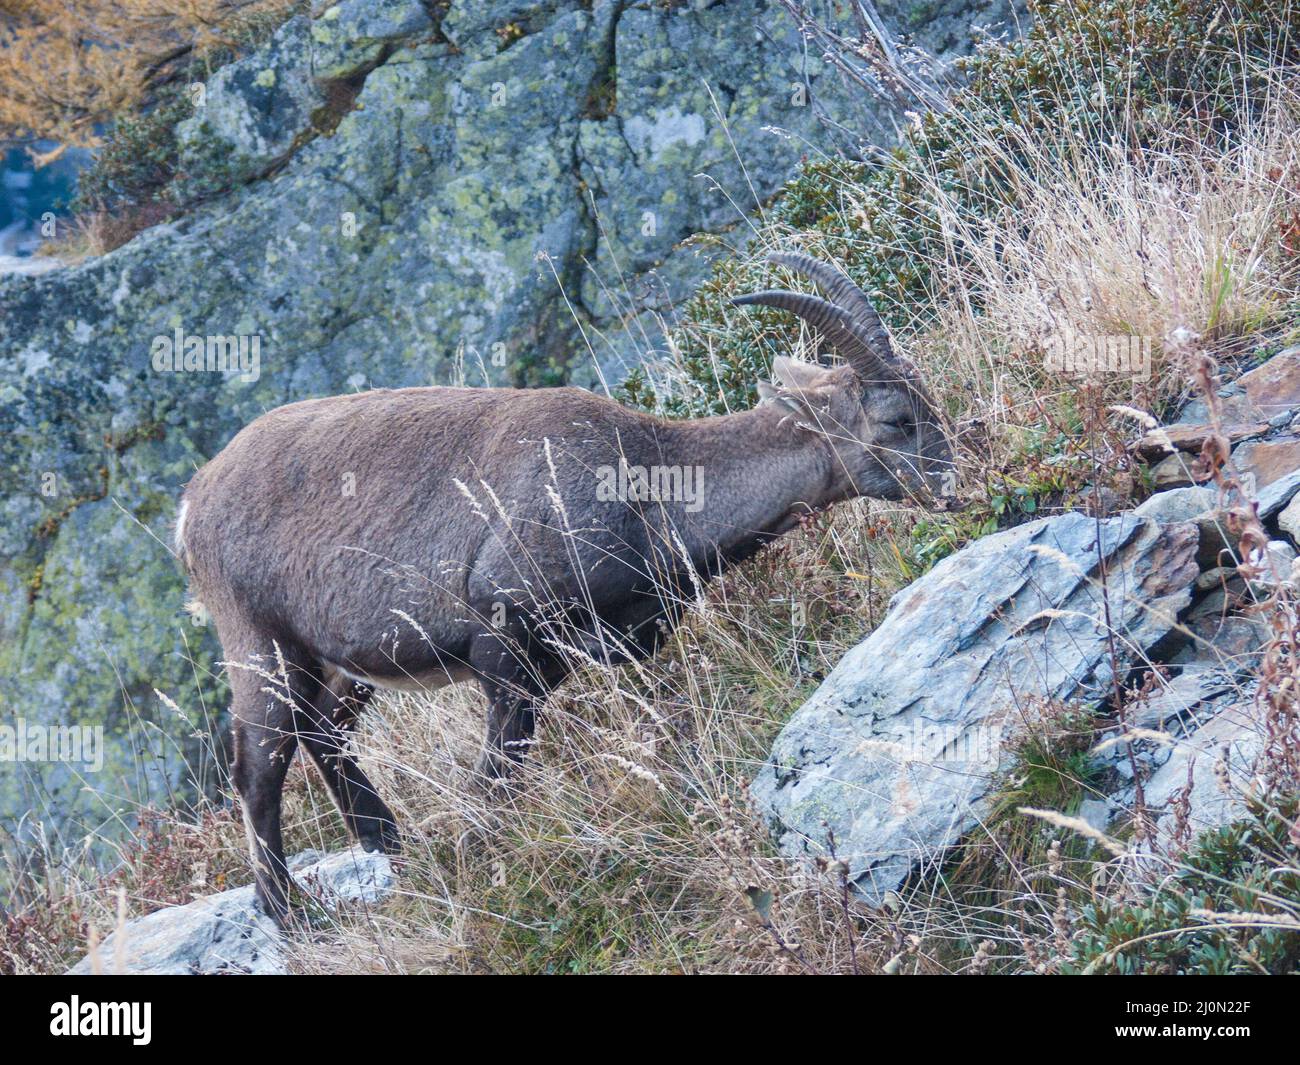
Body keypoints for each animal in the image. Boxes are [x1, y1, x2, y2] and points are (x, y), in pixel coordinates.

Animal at [175, 252, 954, 921]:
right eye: (897, 418)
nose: (954, 483)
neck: (646, 486)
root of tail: (193, 502)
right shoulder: (503, 640)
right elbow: (497, 775)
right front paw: (488, 865)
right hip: (260, 642)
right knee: (257, 769)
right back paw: (288, 914)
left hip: (340, 659)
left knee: (324, 731)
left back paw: (387, 844)